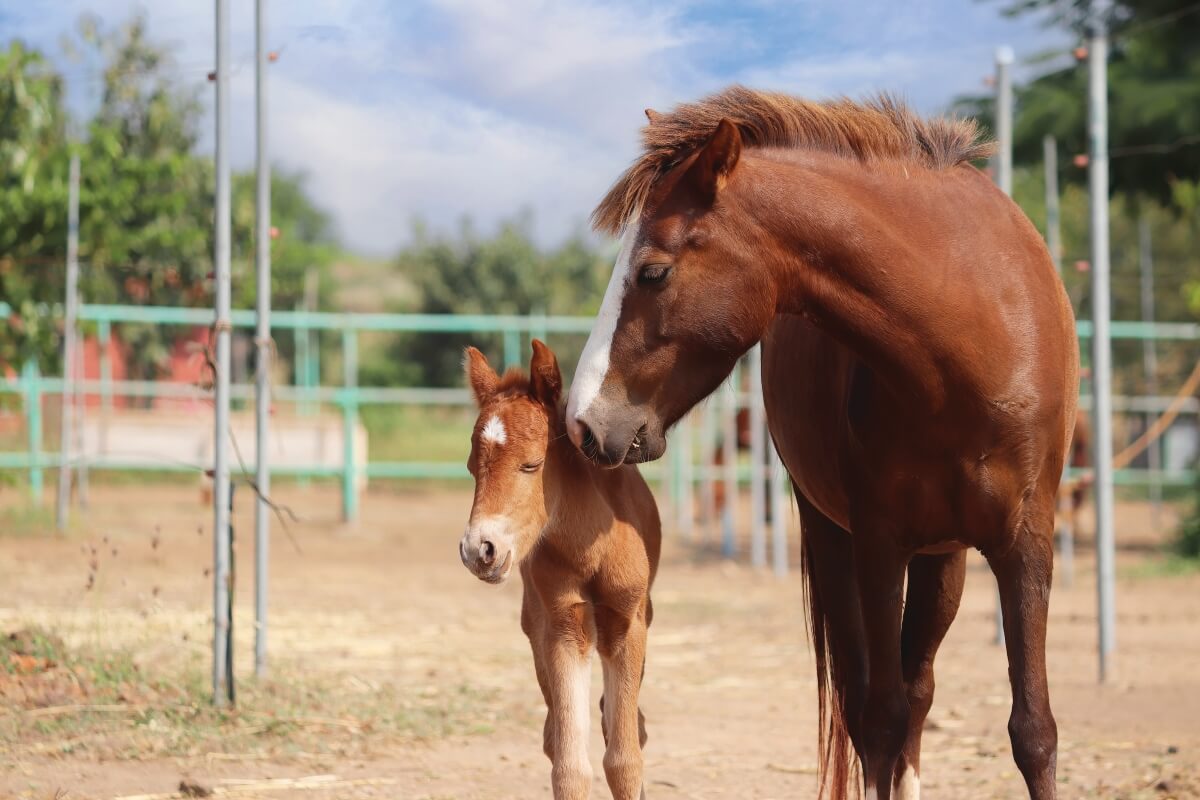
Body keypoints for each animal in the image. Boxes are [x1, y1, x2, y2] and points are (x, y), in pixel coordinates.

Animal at [458, 340, 662, 800]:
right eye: (471, 467)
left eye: (531, 465)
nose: (480, 550)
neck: (594, 548)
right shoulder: (563, 627)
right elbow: (569, 764)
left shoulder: (627, 622)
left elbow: (624, 759)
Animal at [563, 87, 1078, 800]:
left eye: (653, 272)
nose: (583, 423)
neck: (975, 331)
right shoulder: (879, 543)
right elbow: (880, 719)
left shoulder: (1026, 543)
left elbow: (1033, 730)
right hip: (835, 539)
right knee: (877, 707)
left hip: (944, 558)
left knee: (919, 692)